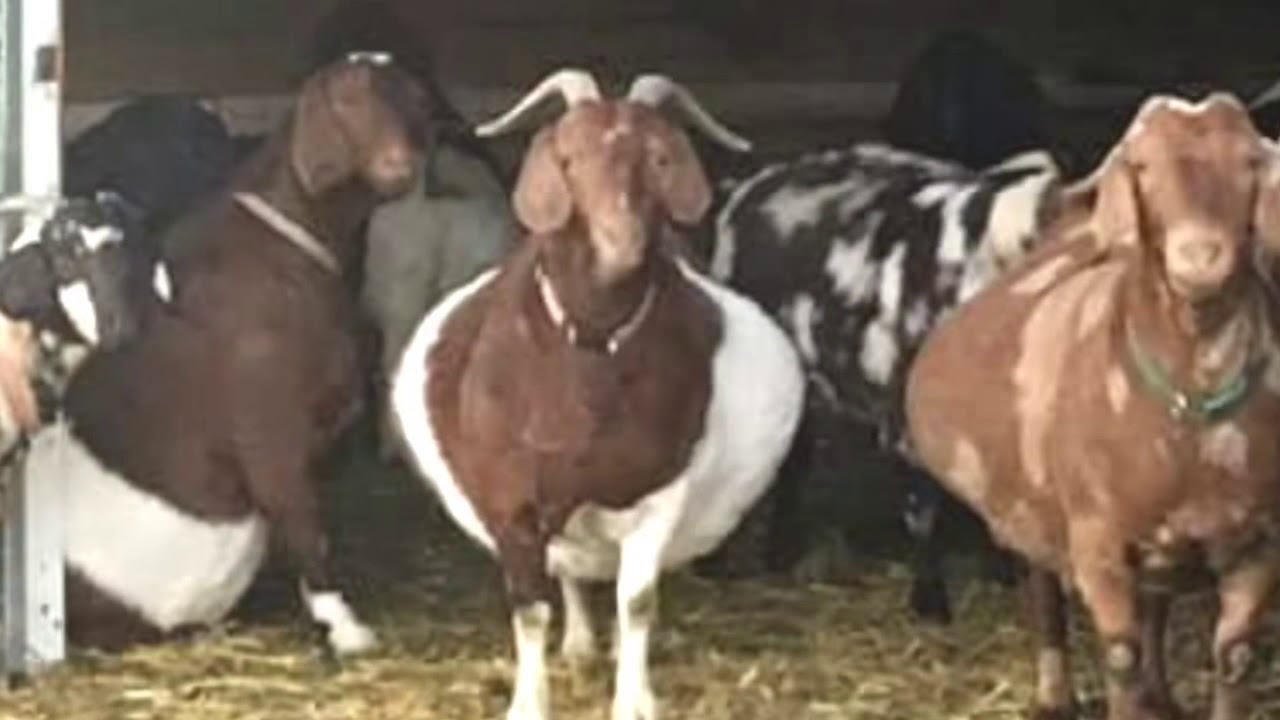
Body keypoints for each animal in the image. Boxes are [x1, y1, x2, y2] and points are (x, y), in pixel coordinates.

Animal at [22, 54, 428, 654]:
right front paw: (346, 629)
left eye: (411, 97)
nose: (402, 164)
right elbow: (302, 519)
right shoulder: (269, 423)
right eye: (348, 99)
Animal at [390, 69, 804, 720]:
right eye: (568, 159)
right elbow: (530, 611)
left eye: (659, 158)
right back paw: (581, 643)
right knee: (566, 571)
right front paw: (528, 703)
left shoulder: (660, 491)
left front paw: (635, 701)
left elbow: (636, 604)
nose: (621, 243)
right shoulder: (513, 500)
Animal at [907, 94, 1280, 720]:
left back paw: (1161, 697)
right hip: (1031, 502)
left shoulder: (1255, 541)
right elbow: (1120, 656)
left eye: (1250, 163)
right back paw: (1055, 694)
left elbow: (1235, 658)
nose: (1200, 257)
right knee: (1043, 590)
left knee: (1155, 604)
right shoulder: (1095, 539)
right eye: (1143, 167)